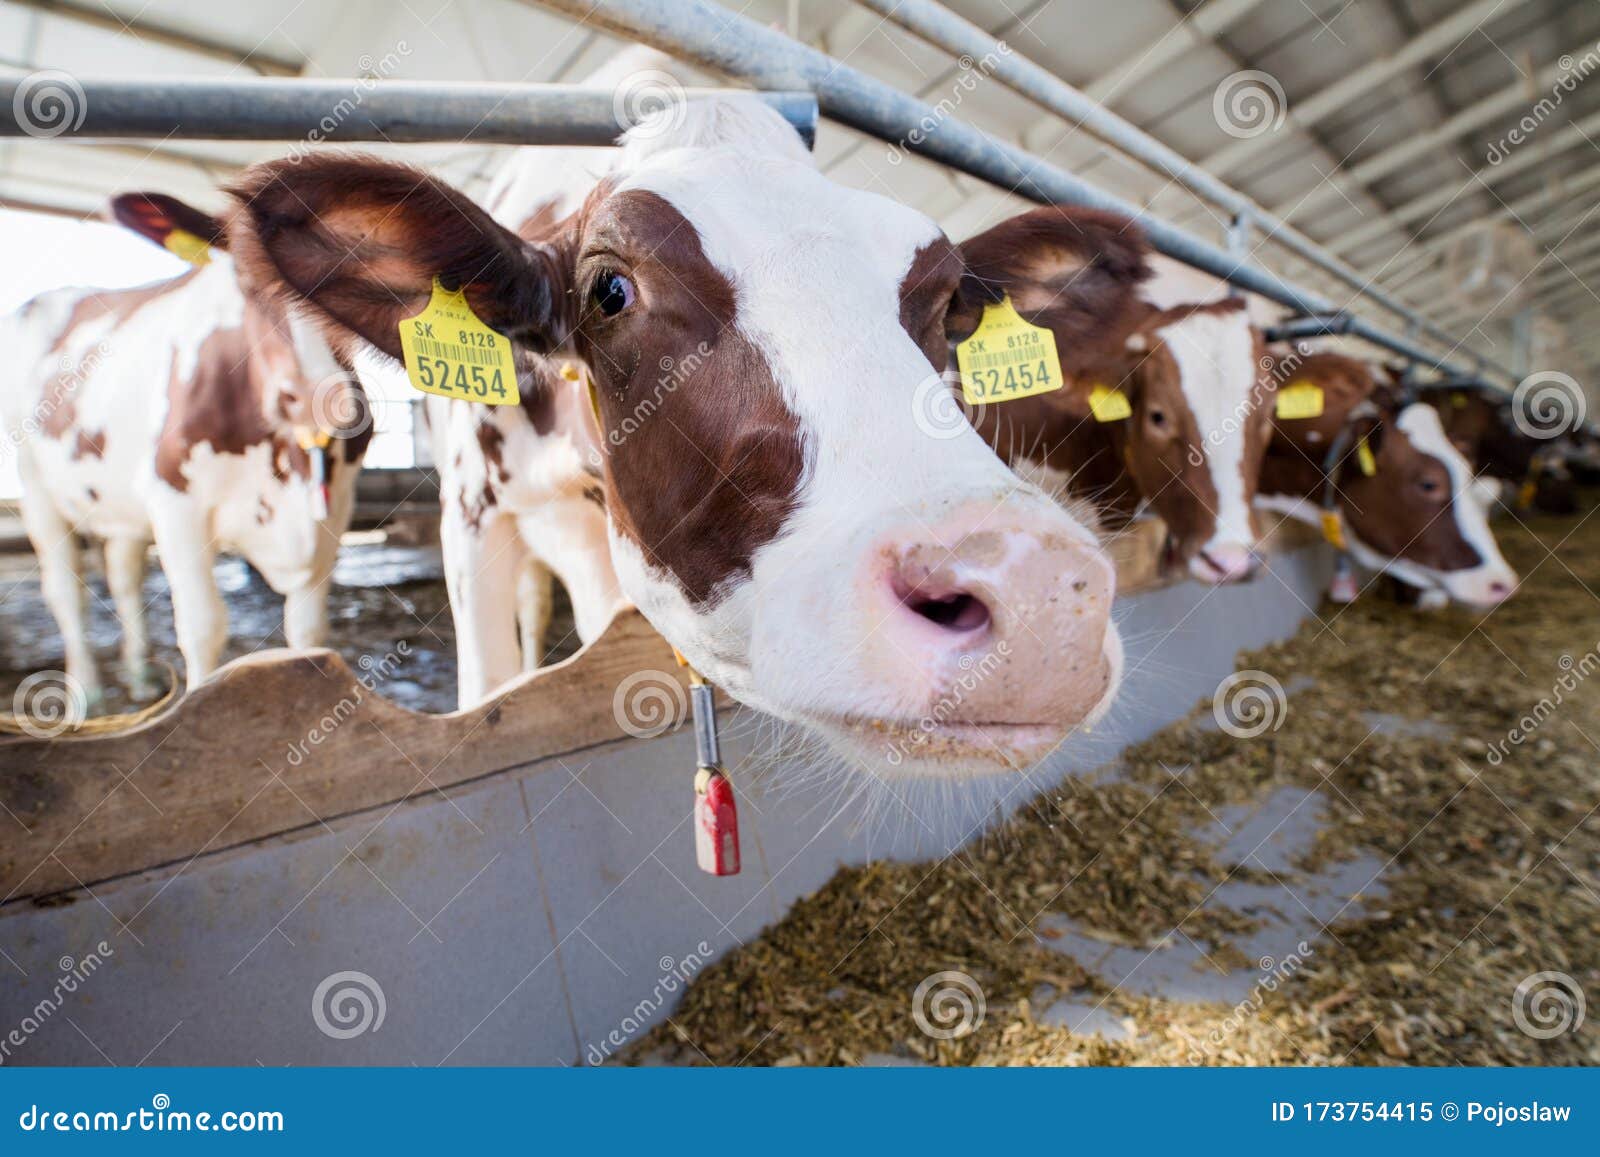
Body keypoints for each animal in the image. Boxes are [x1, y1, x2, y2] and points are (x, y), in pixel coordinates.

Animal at [0, 192, 370, 701]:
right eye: (245, 273)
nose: (320, 394)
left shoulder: (337, 507)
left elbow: (310, 633)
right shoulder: (175, 501)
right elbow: (202, 626)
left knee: (123, 575)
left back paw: (140, 677)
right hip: (35, 485)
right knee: (65, 590)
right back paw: (88, 692)